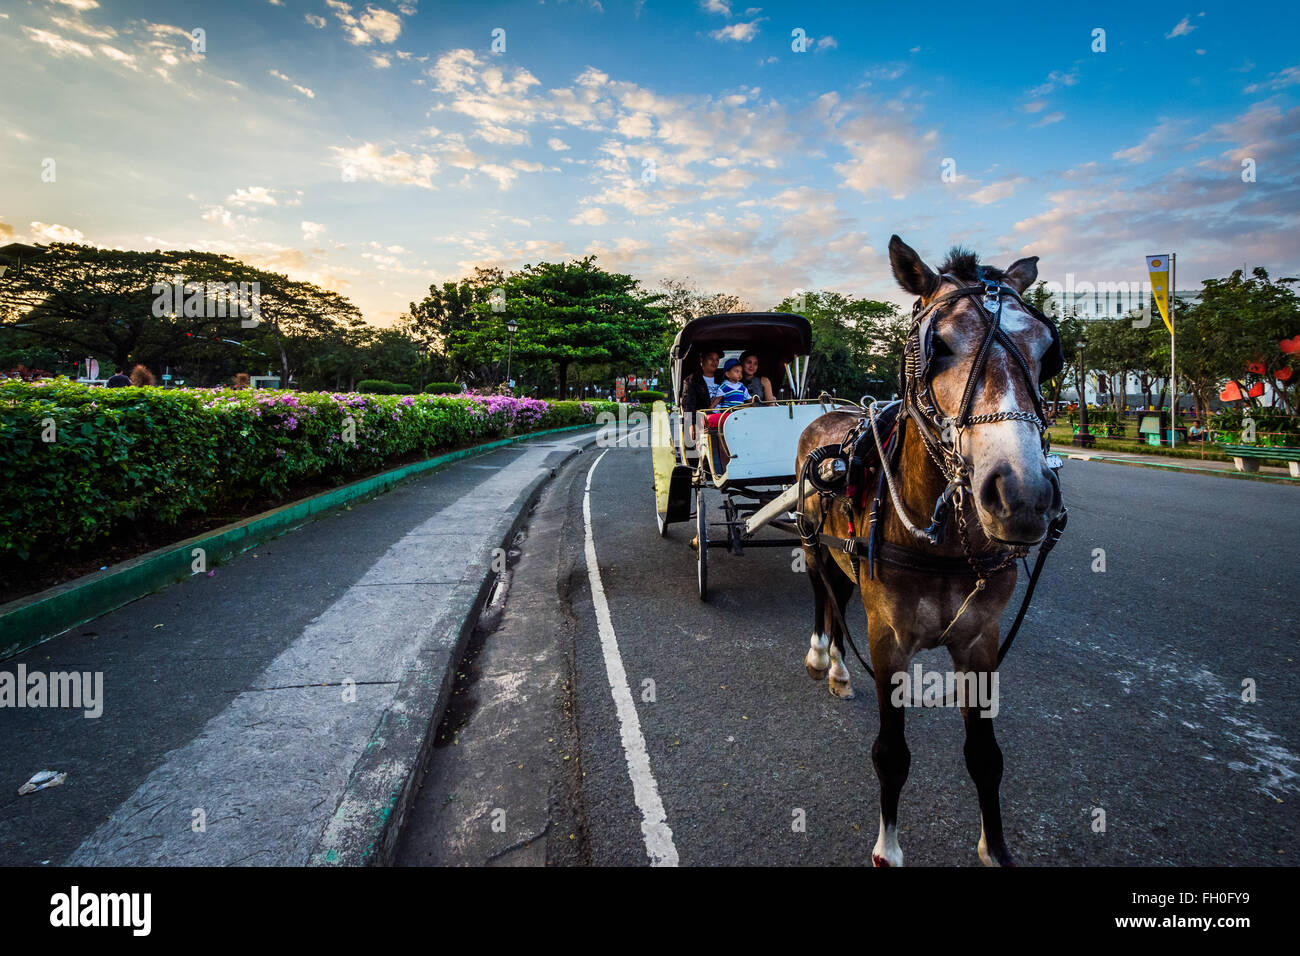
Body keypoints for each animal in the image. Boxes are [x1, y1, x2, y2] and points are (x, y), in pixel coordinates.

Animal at [795, 235, 1065, 867]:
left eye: (1048, 355)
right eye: (937, 347)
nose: (1023, 496)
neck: (943, 541)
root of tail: (826, 411)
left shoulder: (981, 640)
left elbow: (986, 757)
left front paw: (995, 847)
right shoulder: (889, 640)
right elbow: (892, 755)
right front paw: (887, 849)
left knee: (839, 595)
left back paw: (839, 667)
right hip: (815, 544)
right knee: (822, 594)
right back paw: (823, 657)